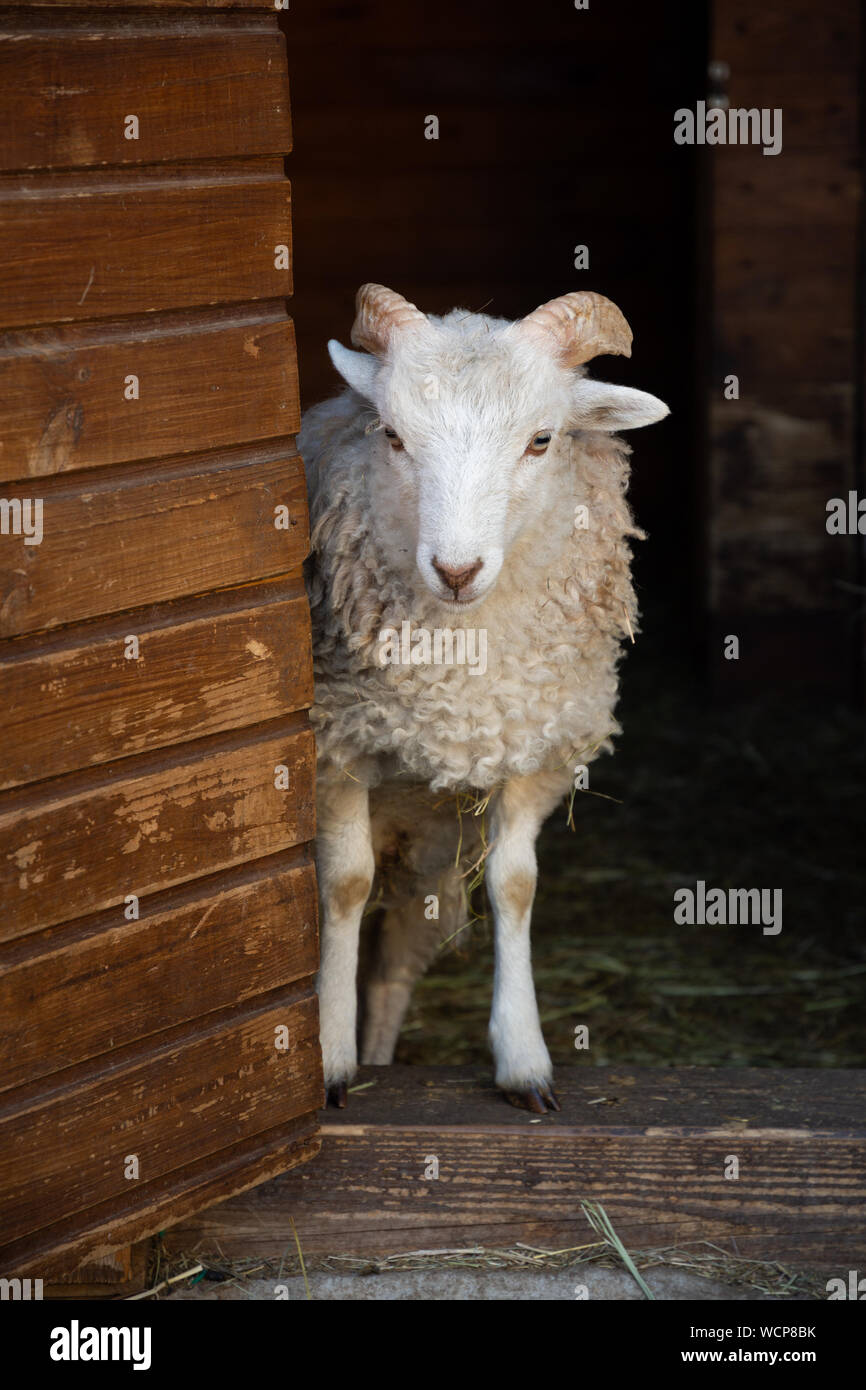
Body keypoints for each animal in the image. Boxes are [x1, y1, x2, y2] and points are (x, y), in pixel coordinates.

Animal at [300, 284, 669, 1112]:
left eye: (542, 440)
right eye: (393, 436)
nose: (457, 570)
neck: (462, 683)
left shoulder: (531, 747)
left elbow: (515, 886)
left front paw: (524, 1059)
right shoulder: (337, 747)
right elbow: (342, 888)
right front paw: (331, 1057)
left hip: (431, 852)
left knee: (396, 962)